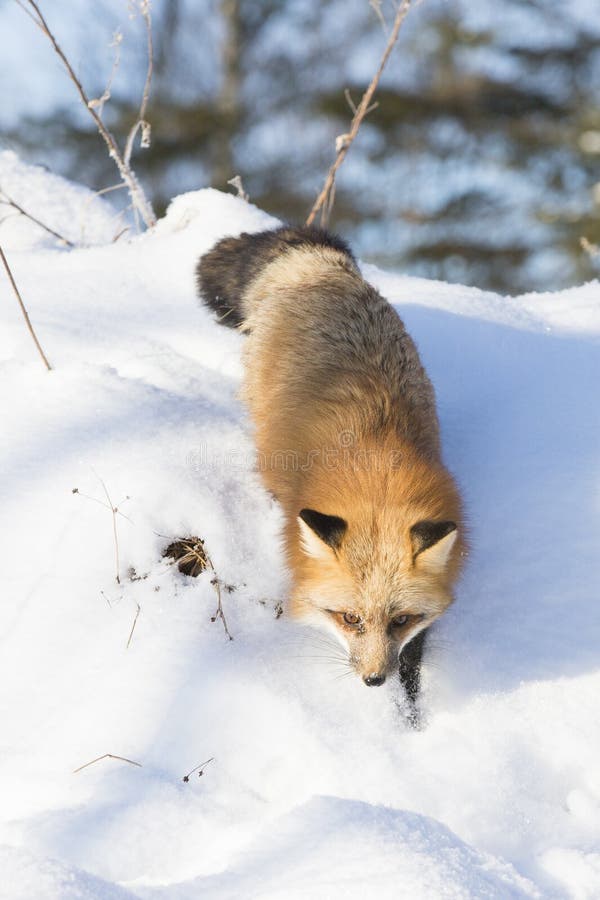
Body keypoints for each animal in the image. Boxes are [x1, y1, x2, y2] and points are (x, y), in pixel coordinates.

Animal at [197, 225, 465, 711]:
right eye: (349, 618)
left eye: (400, 620)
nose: (374, 680)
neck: (377, 470)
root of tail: (319, 272)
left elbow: (414, 661)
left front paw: (411, 710)